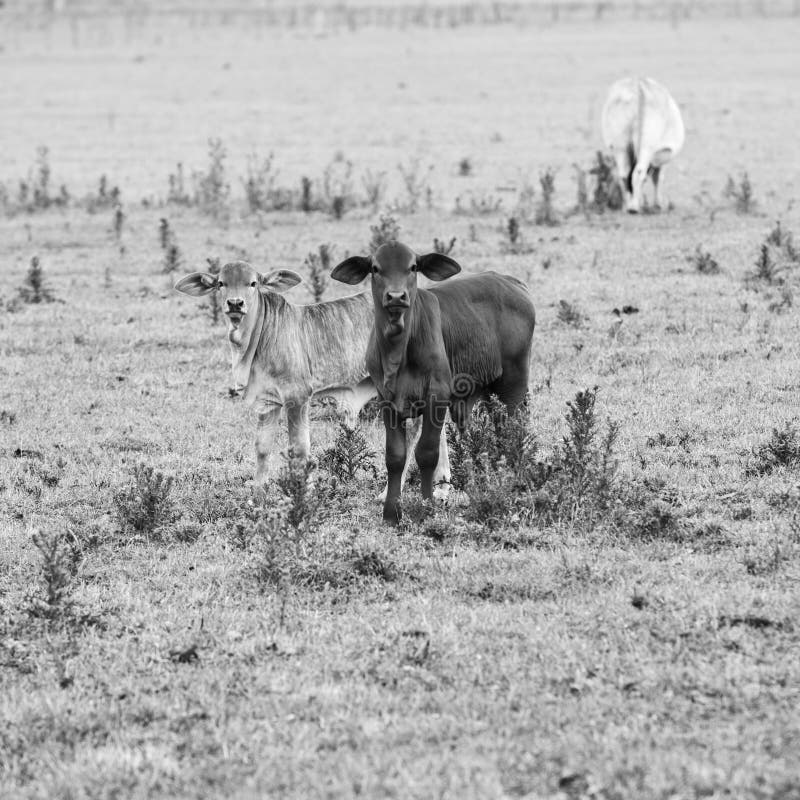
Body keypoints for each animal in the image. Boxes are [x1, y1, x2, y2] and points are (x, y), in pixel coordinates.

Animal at [175, 260, 450, 493]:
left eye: (253, 283)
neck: (259, 337)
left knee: (414, 430)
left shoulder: (297, 396)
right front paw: (257, 494)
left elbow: (299, 448)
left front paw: (303, 493)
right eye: (221, 283)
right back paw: (442, 487)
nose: (235, 303)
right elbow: (262, 448)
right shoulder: (268, 401)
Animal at [331, 242, 536, 524]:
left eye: (413, 267)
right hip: (486, 394)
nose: (396, 297)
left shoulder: (436, 398)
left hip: (513, 384)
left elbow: (427, 453)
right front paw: (391, 513)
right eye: (375, 268)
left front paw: (427, 507)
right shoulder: (386, 401)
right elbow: (395, 456)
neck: (398, 352)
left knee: (513, 433)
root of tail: (510, 282)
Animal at [601, 77, 685, 213]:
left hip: (620, 146)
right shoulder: (661, 156)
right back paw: (634, 207)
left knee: (624, 174)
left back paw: (627, 205)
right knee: (639, 172)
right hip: (647, 146)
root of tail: (638, 85)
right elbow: (658, 178)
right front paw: (658, 205)